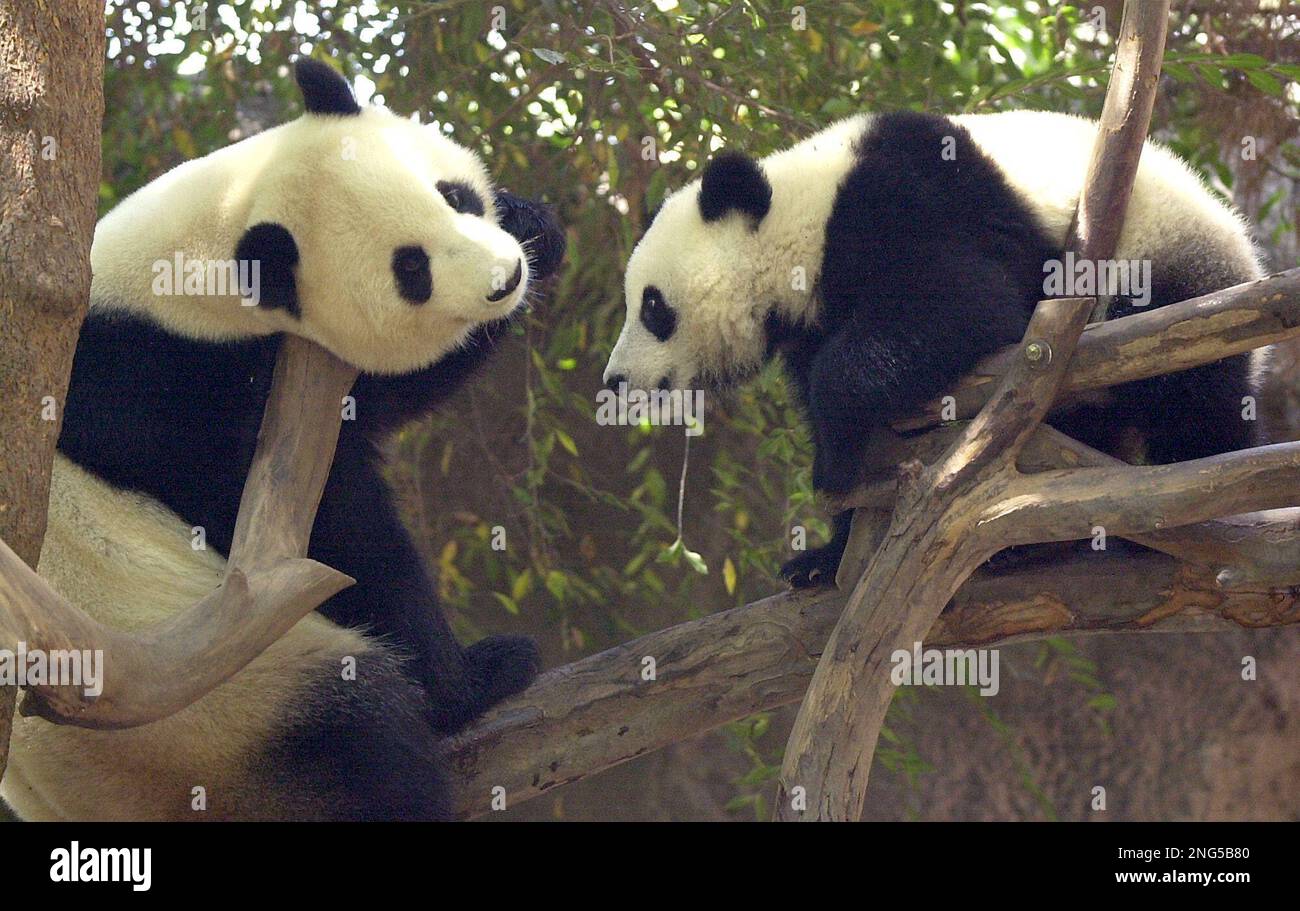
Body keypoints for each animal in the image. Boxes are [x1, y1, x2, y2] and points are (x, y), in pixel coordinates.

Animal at [1, 59, 565, 821]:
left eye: (453, 196)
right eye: (411, 269)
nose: (506, 279)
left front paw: (535, 223)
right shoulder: (180, 399)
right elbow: (350, 542)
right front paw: (473, 676)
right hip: (231, 709)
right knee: (364, 751)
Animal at [603, 110, 1264, 587]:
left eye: (654, 307)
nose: (615, 382)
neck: (803, 217)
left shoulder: (911, 206)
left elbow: (964, 306)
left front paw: (833, 459)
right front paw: (825, 553)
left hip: (1165, 268)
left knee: (1193, 393)